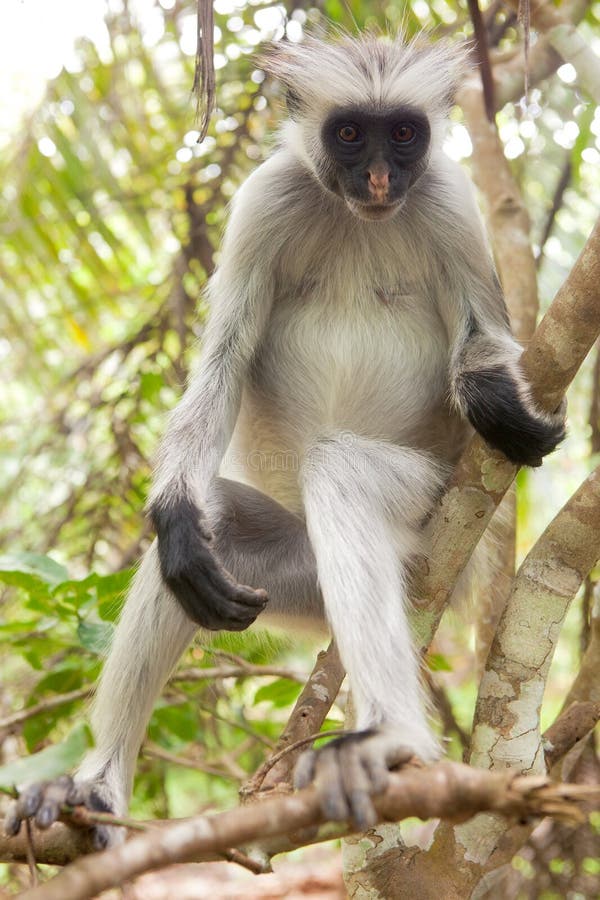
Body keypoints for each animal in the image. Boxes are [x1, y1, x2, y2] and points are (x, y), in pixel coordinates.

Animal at [6, 32, 565, 845]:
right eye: (349, 133)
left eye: (403, 134)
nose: (377, 176)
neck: (362, 218)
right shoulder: (265, 200)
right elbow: (223, 364)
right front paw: (177, 525)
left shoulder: (450, 201)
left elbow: (487, 341)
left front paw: (490, 399)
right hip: (294, 577)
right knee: (211, 530)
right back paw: (97, 788)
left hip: (432, 521)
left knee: (340, 470)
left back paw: (391, 738)